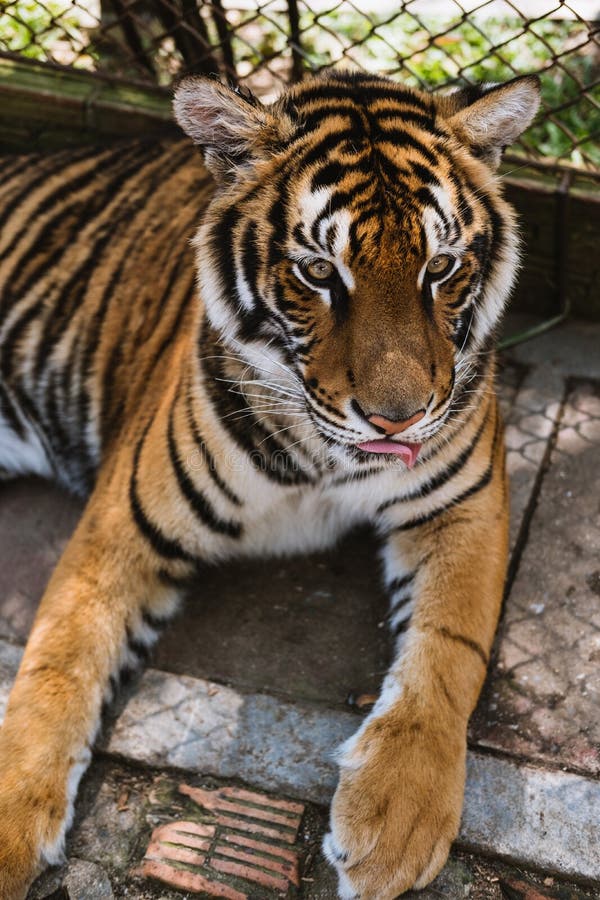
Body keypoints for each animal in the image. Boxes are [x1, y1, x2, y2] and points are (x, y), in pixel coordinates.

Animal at [0, 69, 540, 899]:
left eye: (441, 269)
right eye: (319, 273)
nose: (399, 419)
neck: (329, 457)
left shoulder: (464, 508)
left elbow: (450, 651)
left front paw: (397, 817)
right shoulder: (123, 527)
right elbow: (57, 667)